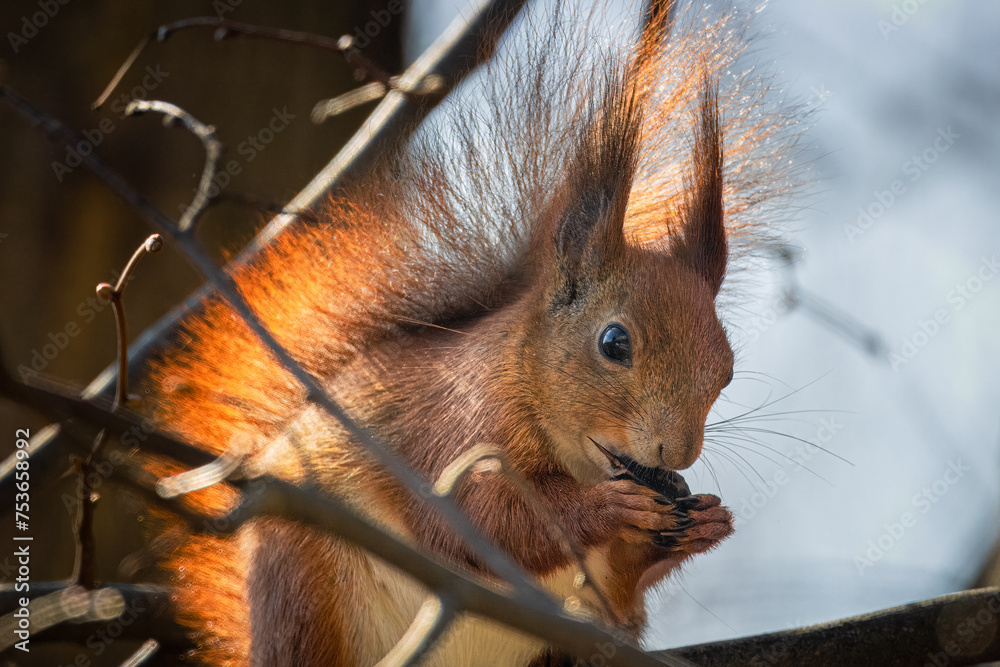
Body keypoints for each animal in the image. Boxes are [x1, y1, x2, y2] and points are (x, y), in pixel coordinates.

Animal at [140, 0, 803, 664]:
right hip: (300, 574)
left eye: (727, 370)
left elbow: (620, 579)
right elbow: (476, 521)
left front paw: (706, 523)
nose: (679, 453)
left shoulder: (606, 588)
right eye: (614, 343)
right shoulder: (452, 425)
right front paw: (607, 507)